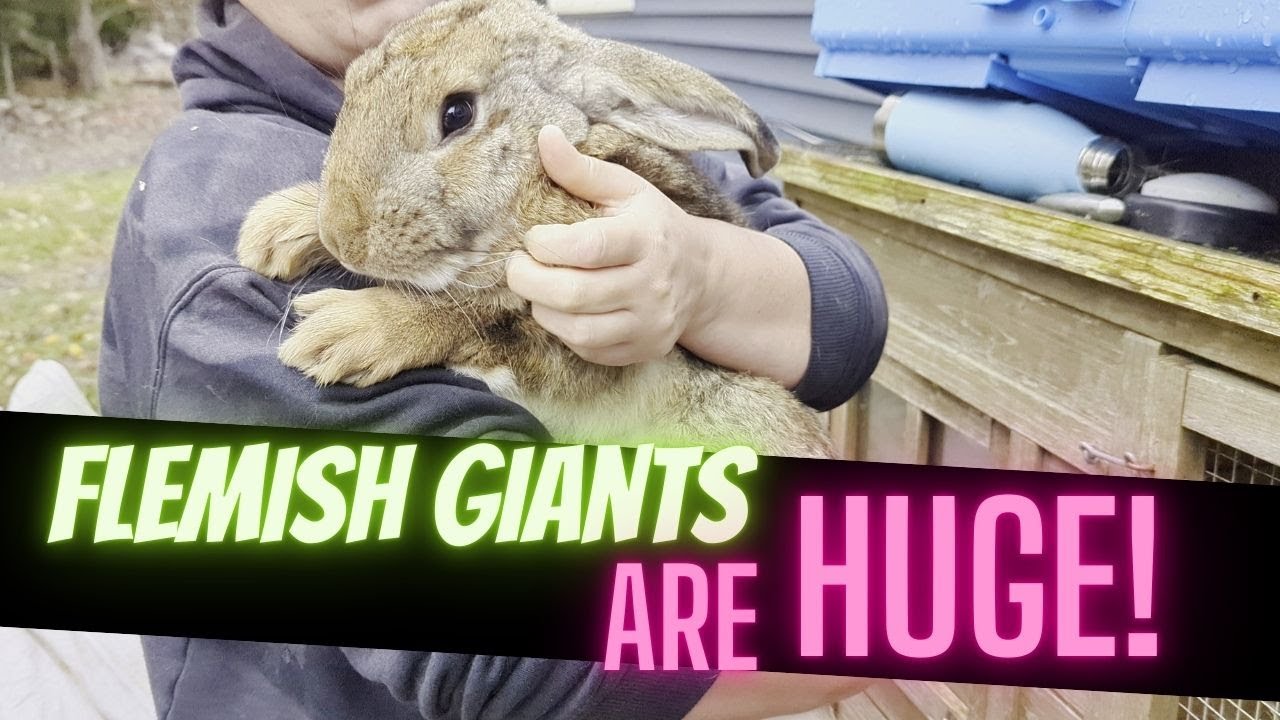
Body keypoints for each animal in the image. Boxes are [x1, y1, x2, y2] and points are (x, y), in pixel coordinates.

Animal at [236, 0, 835, 459]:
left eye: (457, 112)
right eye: (354, 81)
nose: (344, 238)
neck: (530, 187)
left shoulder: (595, 347)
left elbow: (485, 319)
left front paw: (345, 332)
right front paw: (274, 228)